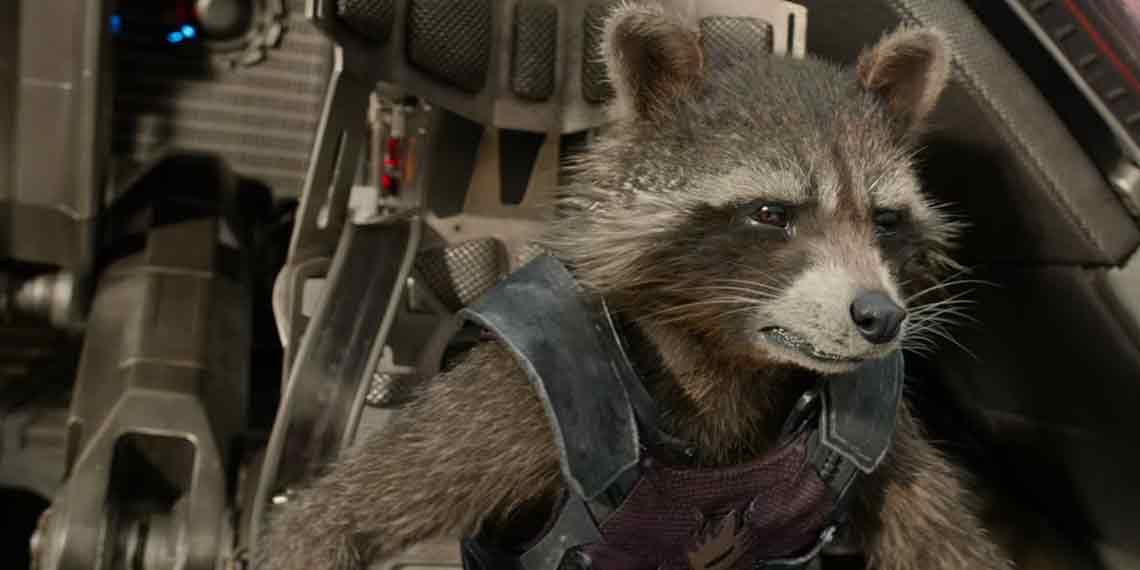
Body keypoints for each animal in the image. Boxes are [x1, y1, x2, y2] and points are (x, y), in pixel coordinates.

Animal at [257, 3, 1009, 569]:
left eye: (884, 220)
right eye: (773, 214)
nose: (879, 317)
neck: (731, 356)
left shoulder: (878, 411)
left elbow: (945, 542)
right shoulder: (526, 391)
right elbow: (331, 522)